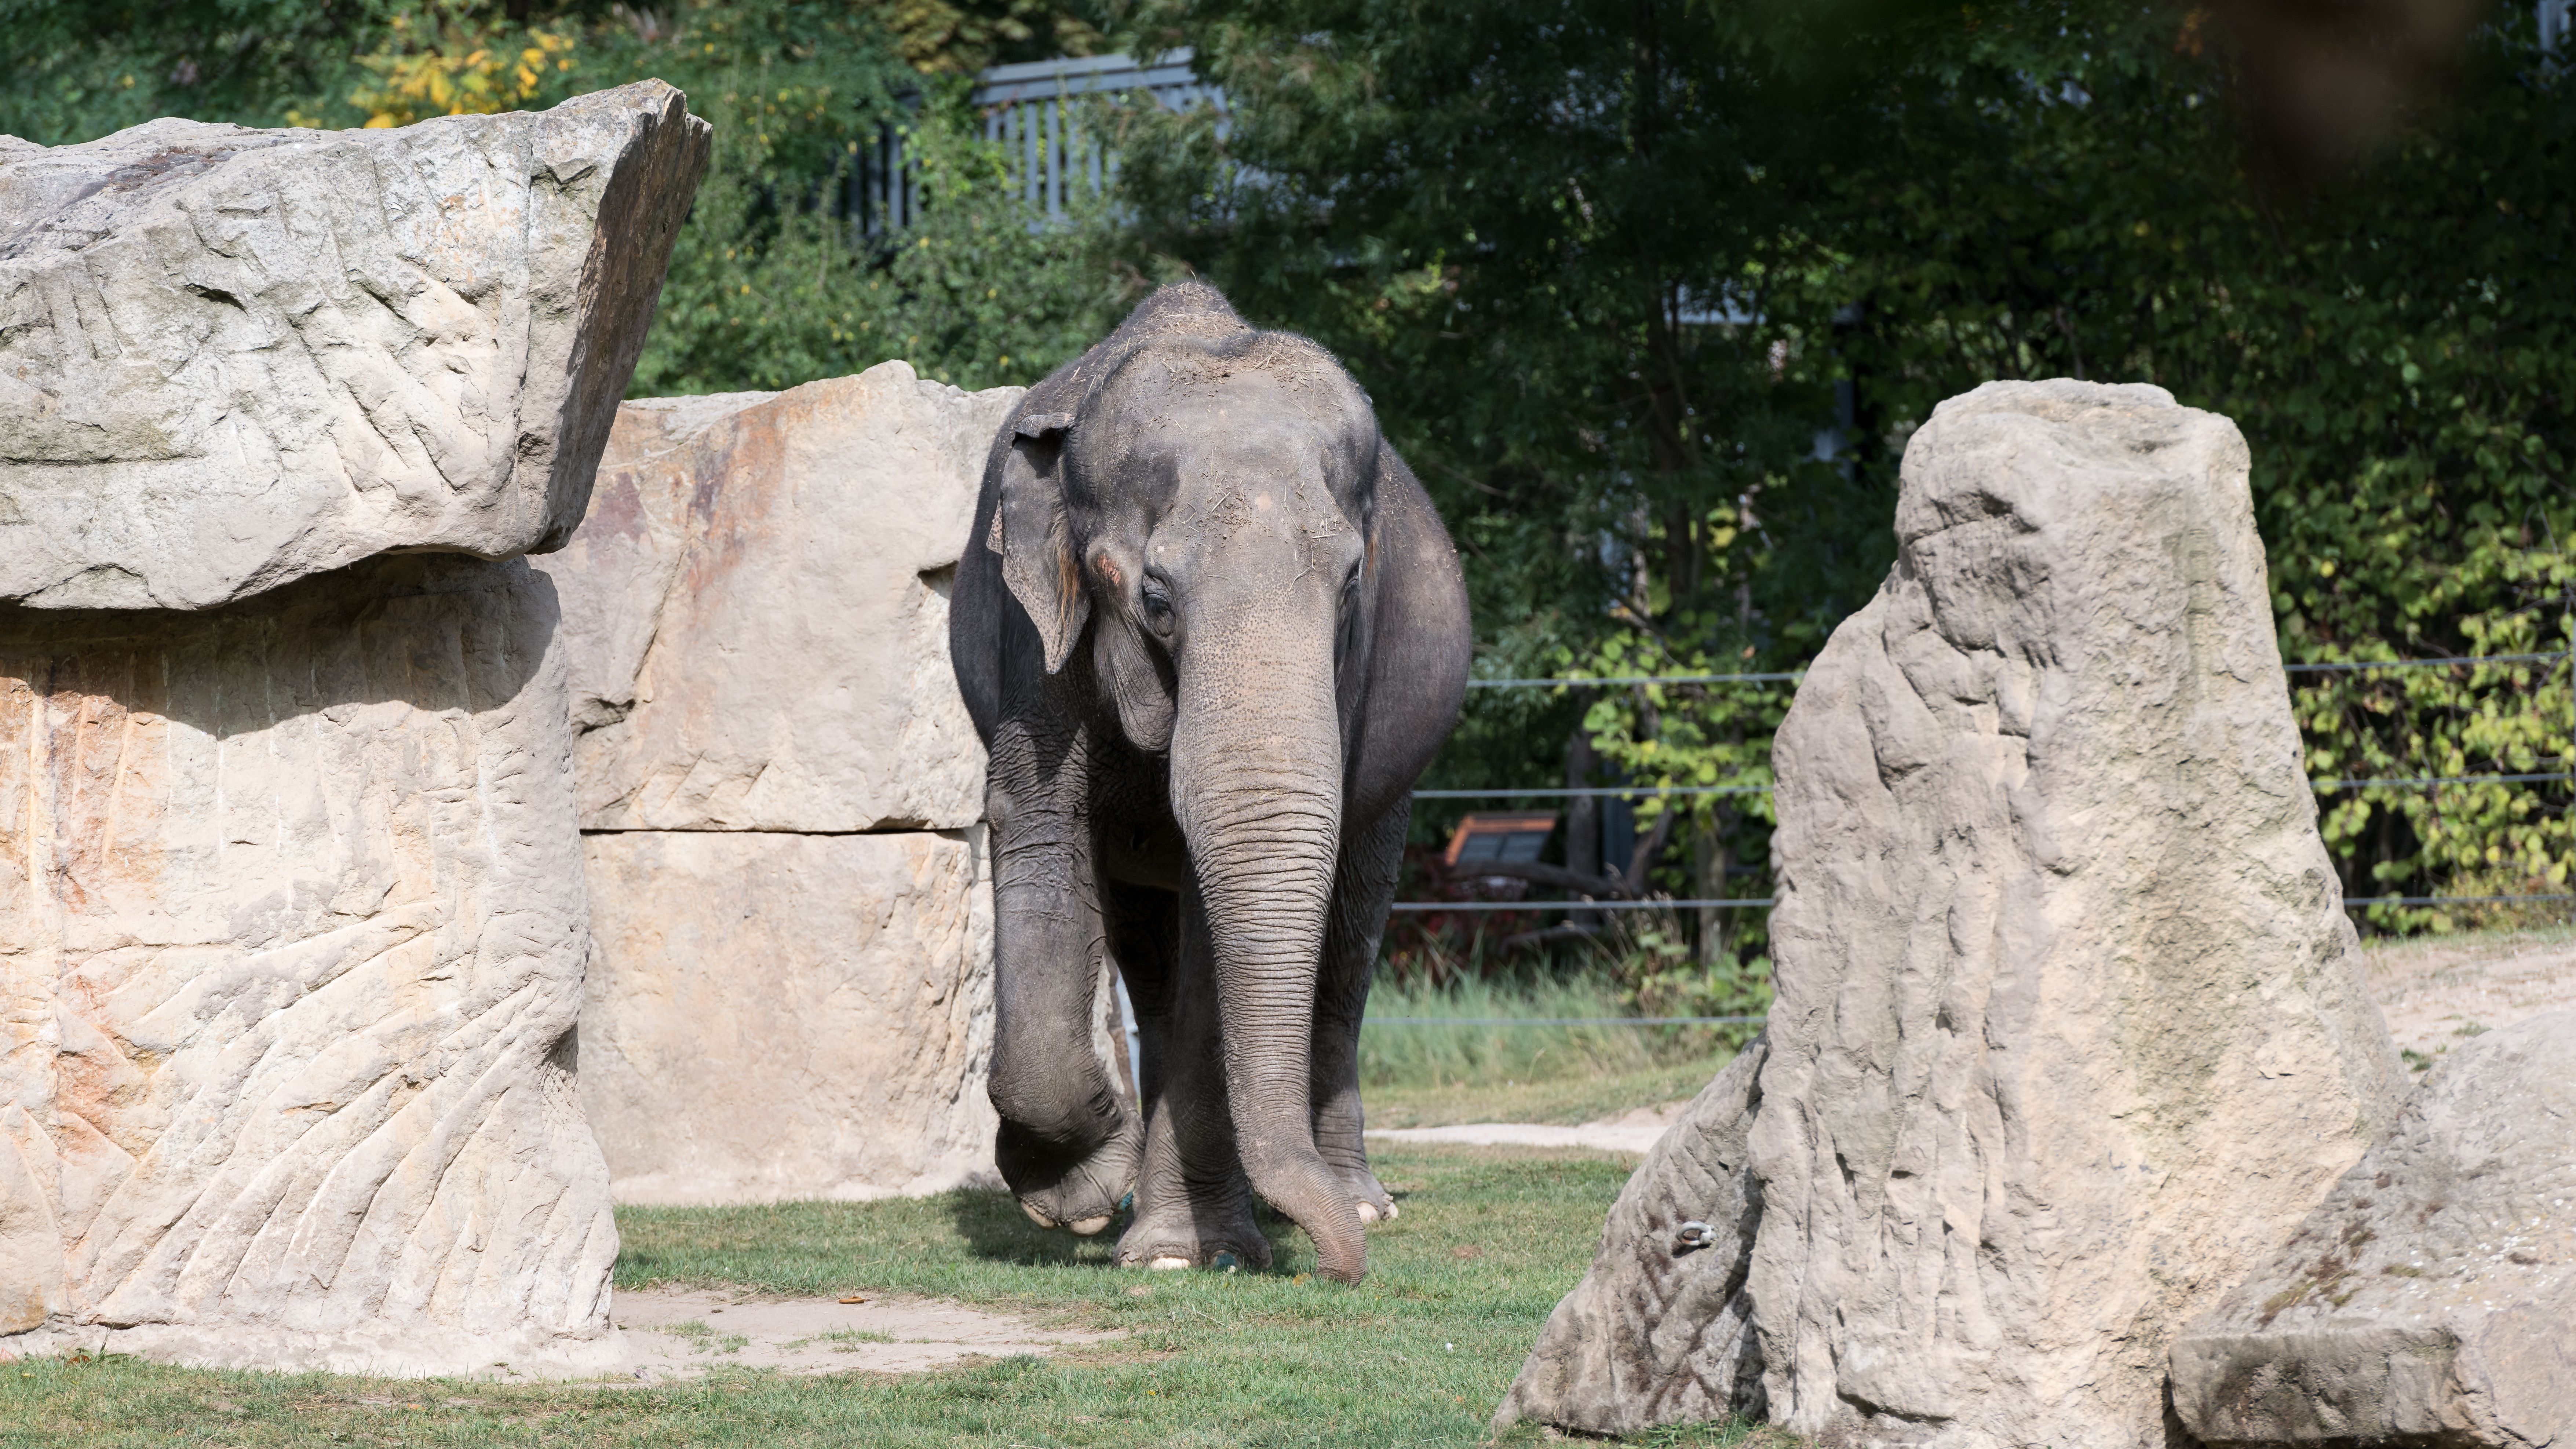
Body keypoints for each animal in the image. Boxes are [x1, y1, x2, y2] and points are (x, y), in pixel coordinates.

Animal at [948, 282, 1472, 1285]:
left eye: (1352, 581)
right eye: (1154, 598)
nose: (1340, 1271)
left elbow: (1212, 917)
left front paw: (1186, 1252)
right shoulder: (1031, 635)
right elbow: (1037, 824)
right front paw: (1079, 1198)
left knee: (1348, 943)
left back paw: (1355, 1201)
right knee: (1148, 958)